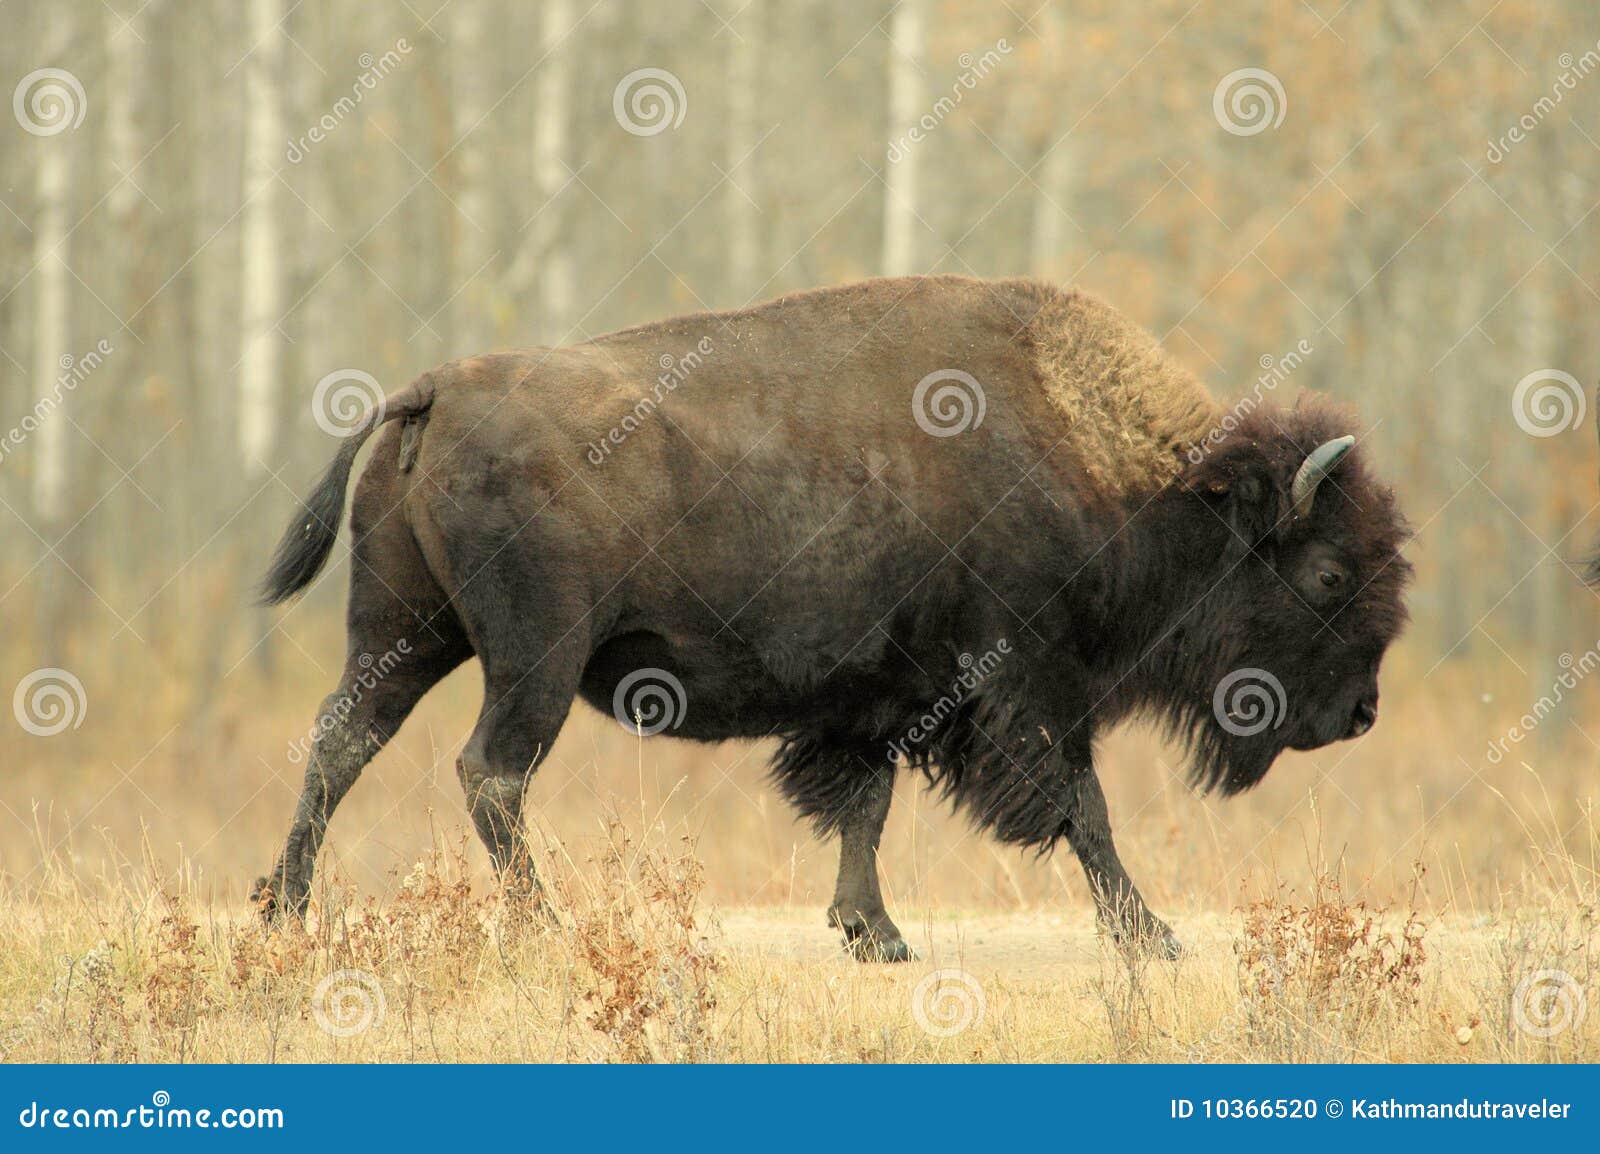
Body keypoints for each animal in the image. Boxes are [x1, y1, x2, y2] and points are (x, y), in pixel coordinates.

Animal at [251, 275, 1411, 961]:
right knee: (489, 772)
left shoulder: (881, 700)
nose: (1360, 711)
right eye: (1326, 574)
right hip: (530, 658)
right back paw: (545, 930)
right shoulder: (1029, 686)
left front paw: (873, 932)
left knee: (341, 738)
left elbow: (866, 804)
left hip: (406, 633)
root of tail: (435, 389)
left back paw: (283, 906)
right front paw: (1152, 936)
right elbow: (1082, 809)